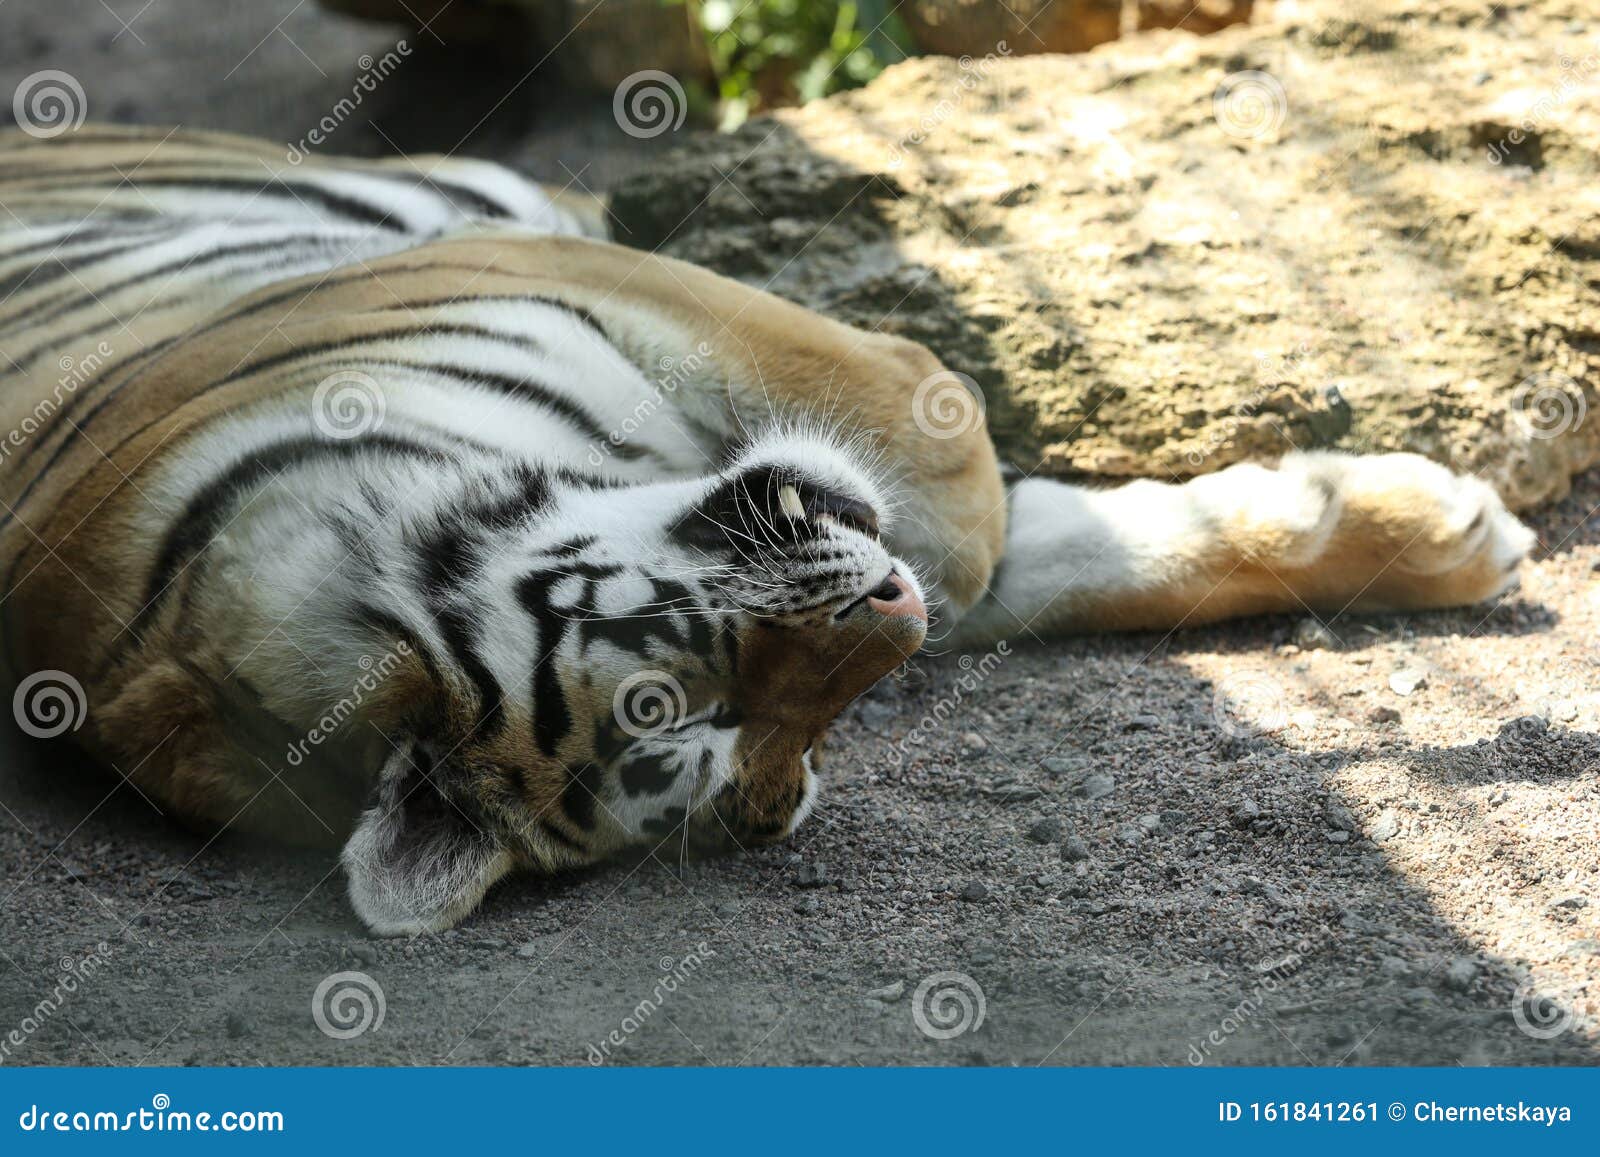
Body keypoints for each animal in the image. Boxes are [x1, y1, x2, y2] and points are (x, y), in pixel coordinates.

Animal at [0, 126, 1535, 935]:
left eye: (678, 682)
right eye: (747, 743)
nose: (890, 626)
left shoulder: (575, 275)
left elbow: (958, 474)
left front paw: (1445, 524)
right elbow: (1009, 543)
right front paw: (1444, 520)